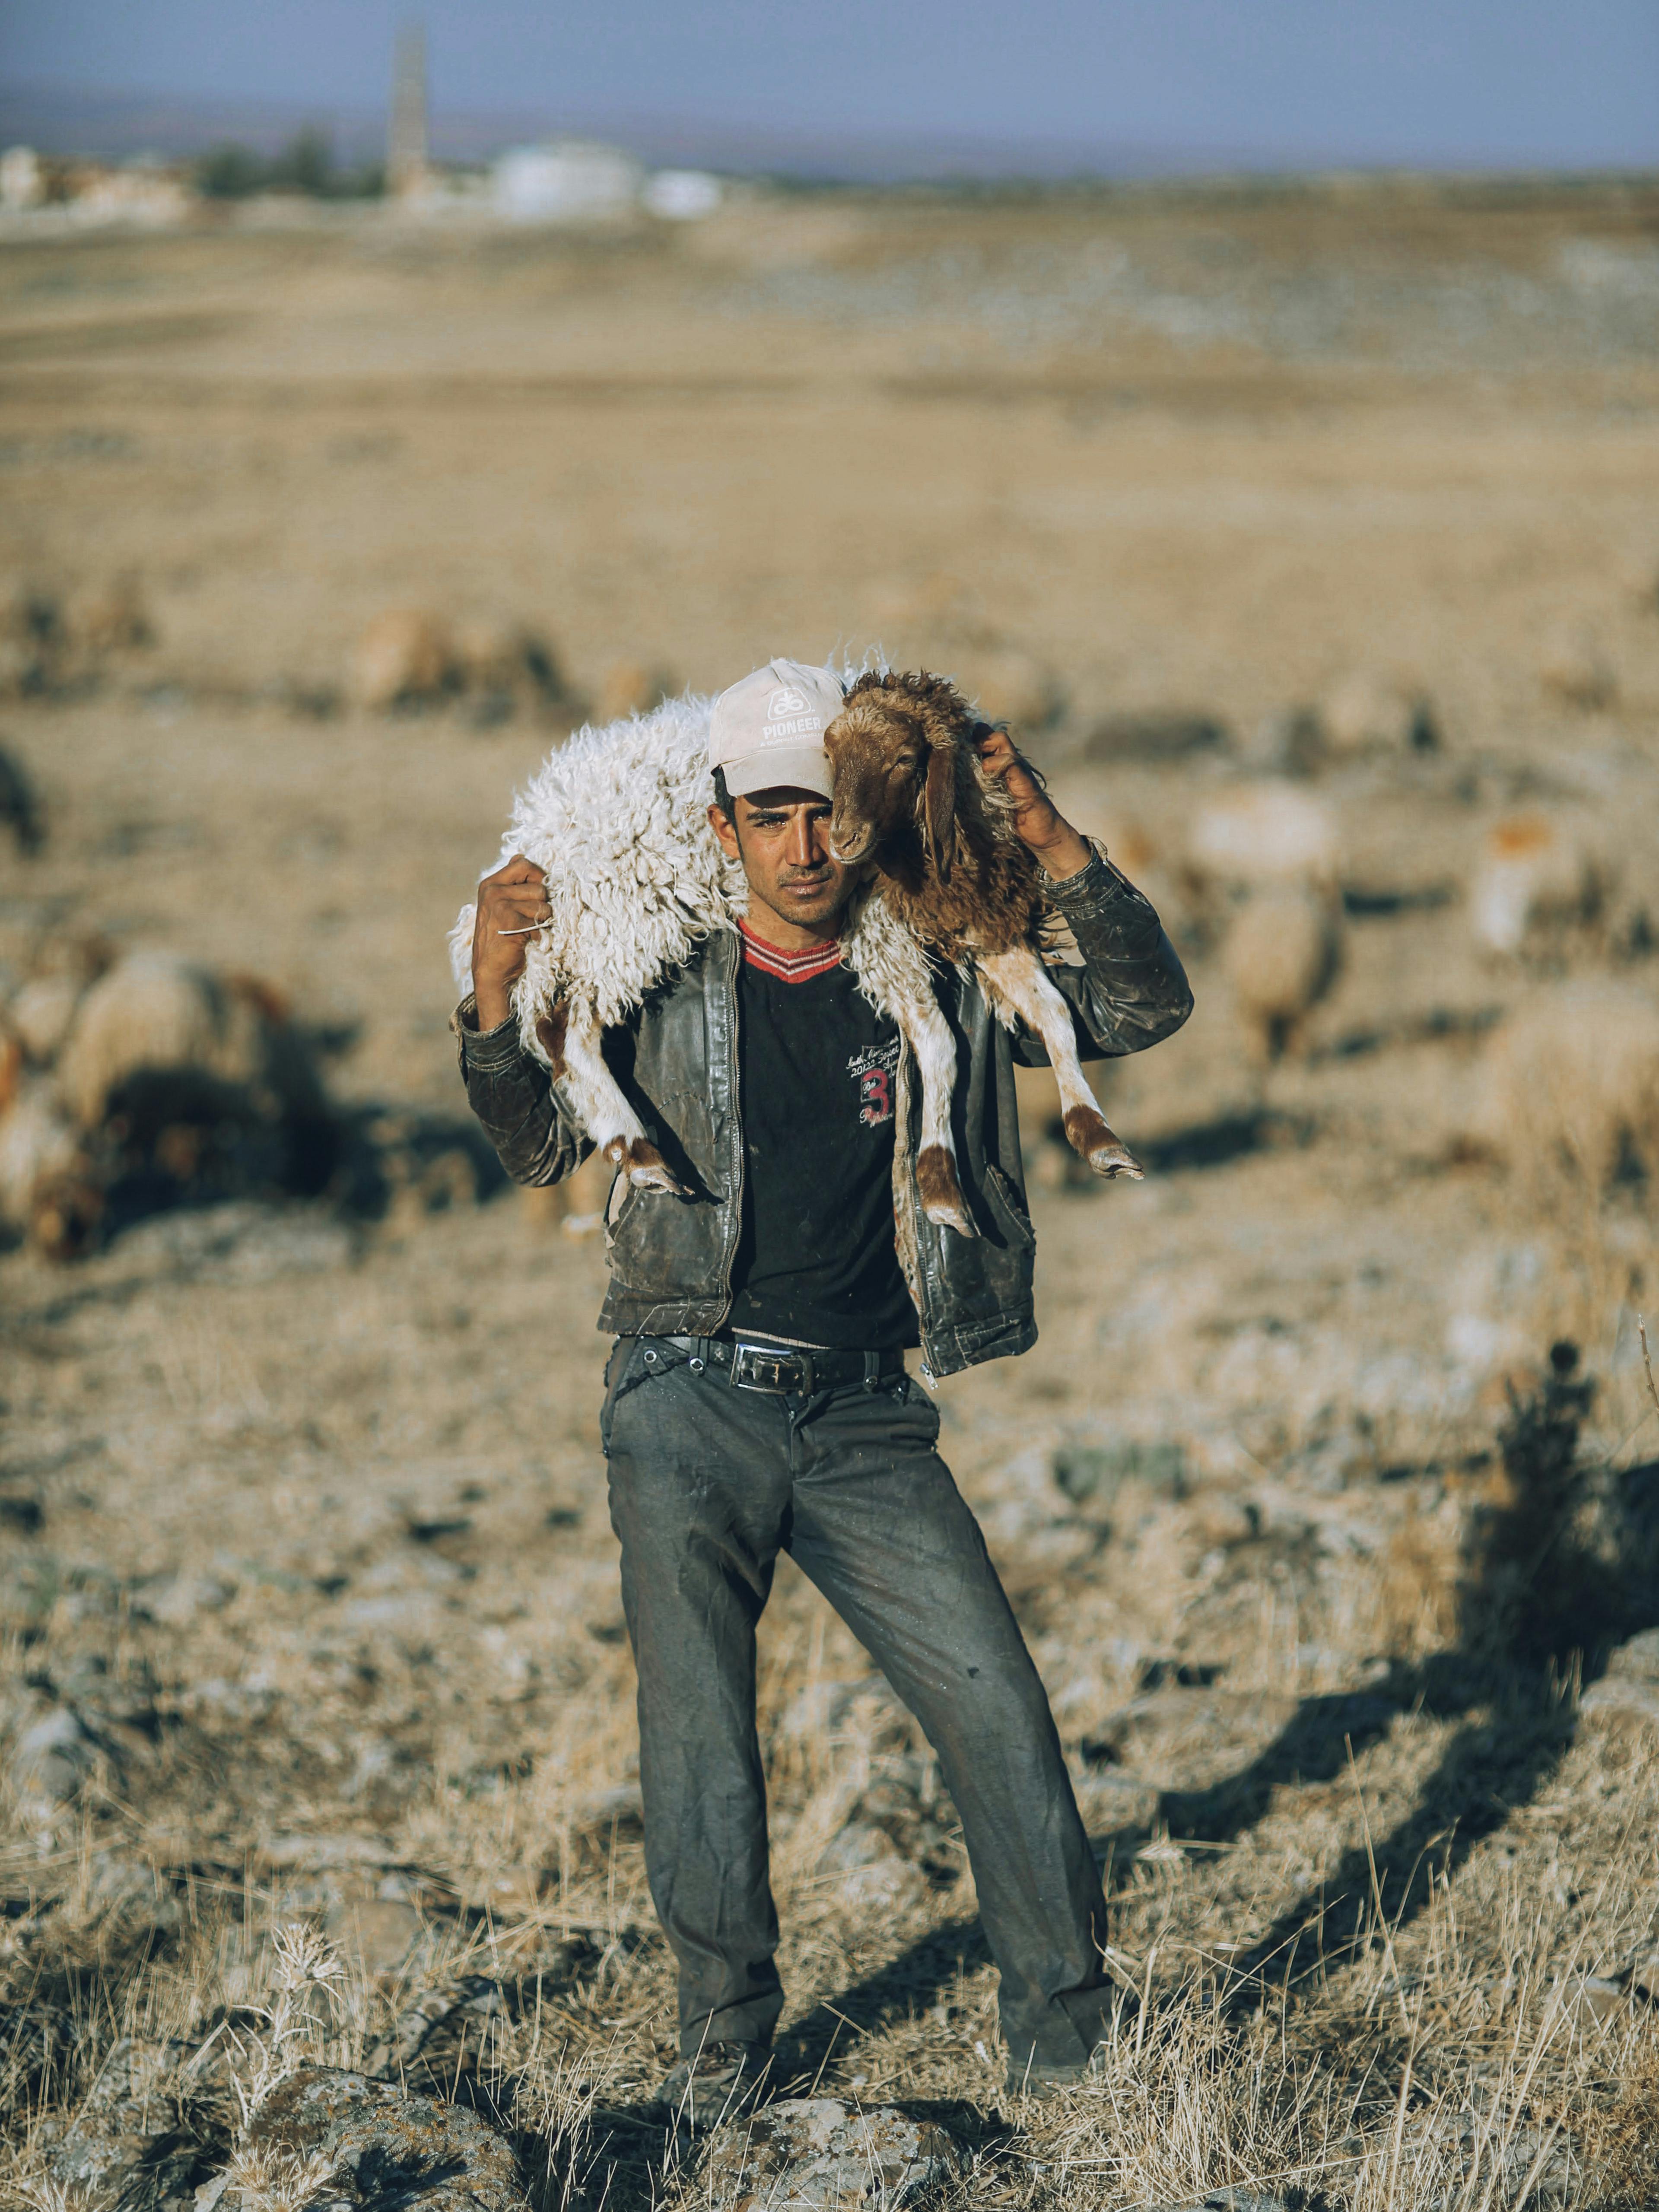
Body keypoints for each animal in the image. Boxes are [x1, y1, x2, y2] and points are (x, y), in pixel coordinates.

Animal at [822, 668, 1142, 1234]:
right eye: (830, 753)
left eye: (905, 757)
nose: (842, 840)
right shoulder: (883, 936)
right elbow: (940, 1043)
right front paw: (940, 1183)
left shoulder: (989, 921)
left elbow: (1056, 1012)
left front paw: (1097, 1135)